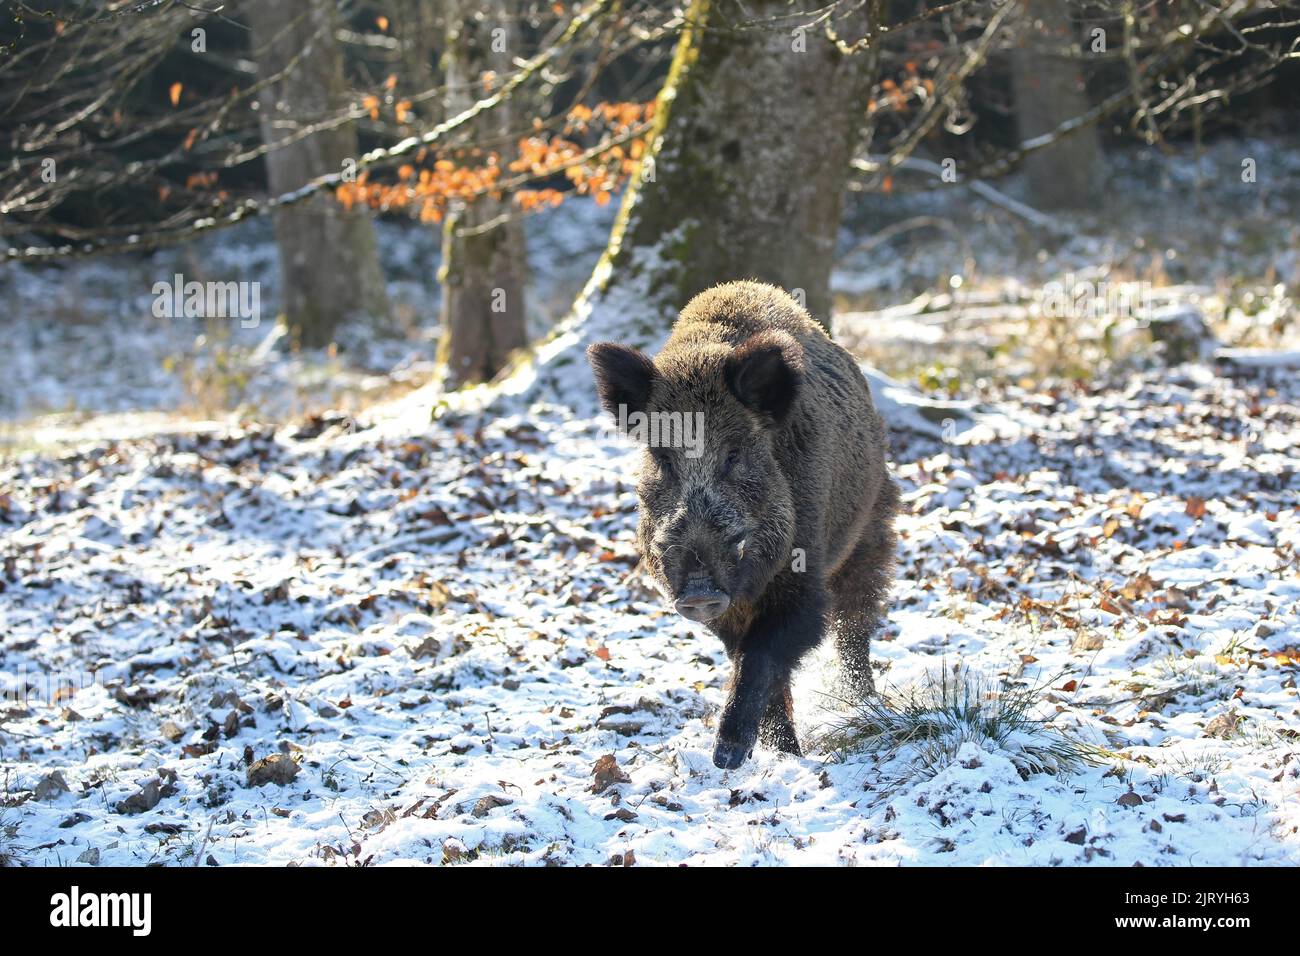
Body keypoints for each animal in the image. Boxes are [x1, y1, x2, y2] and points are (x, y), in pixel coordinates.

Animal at [587, 281, 899, 769]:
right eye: (663, 460)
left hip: (872, 528)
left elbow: (766, 652)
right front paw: (777, 753)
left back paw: (864, 707)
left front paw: (729, 755)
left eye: (733, 456)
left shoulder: (801, 577)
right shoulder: (729, 609)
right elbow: (747, 660)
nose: (699, 590)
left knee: (856, 623)